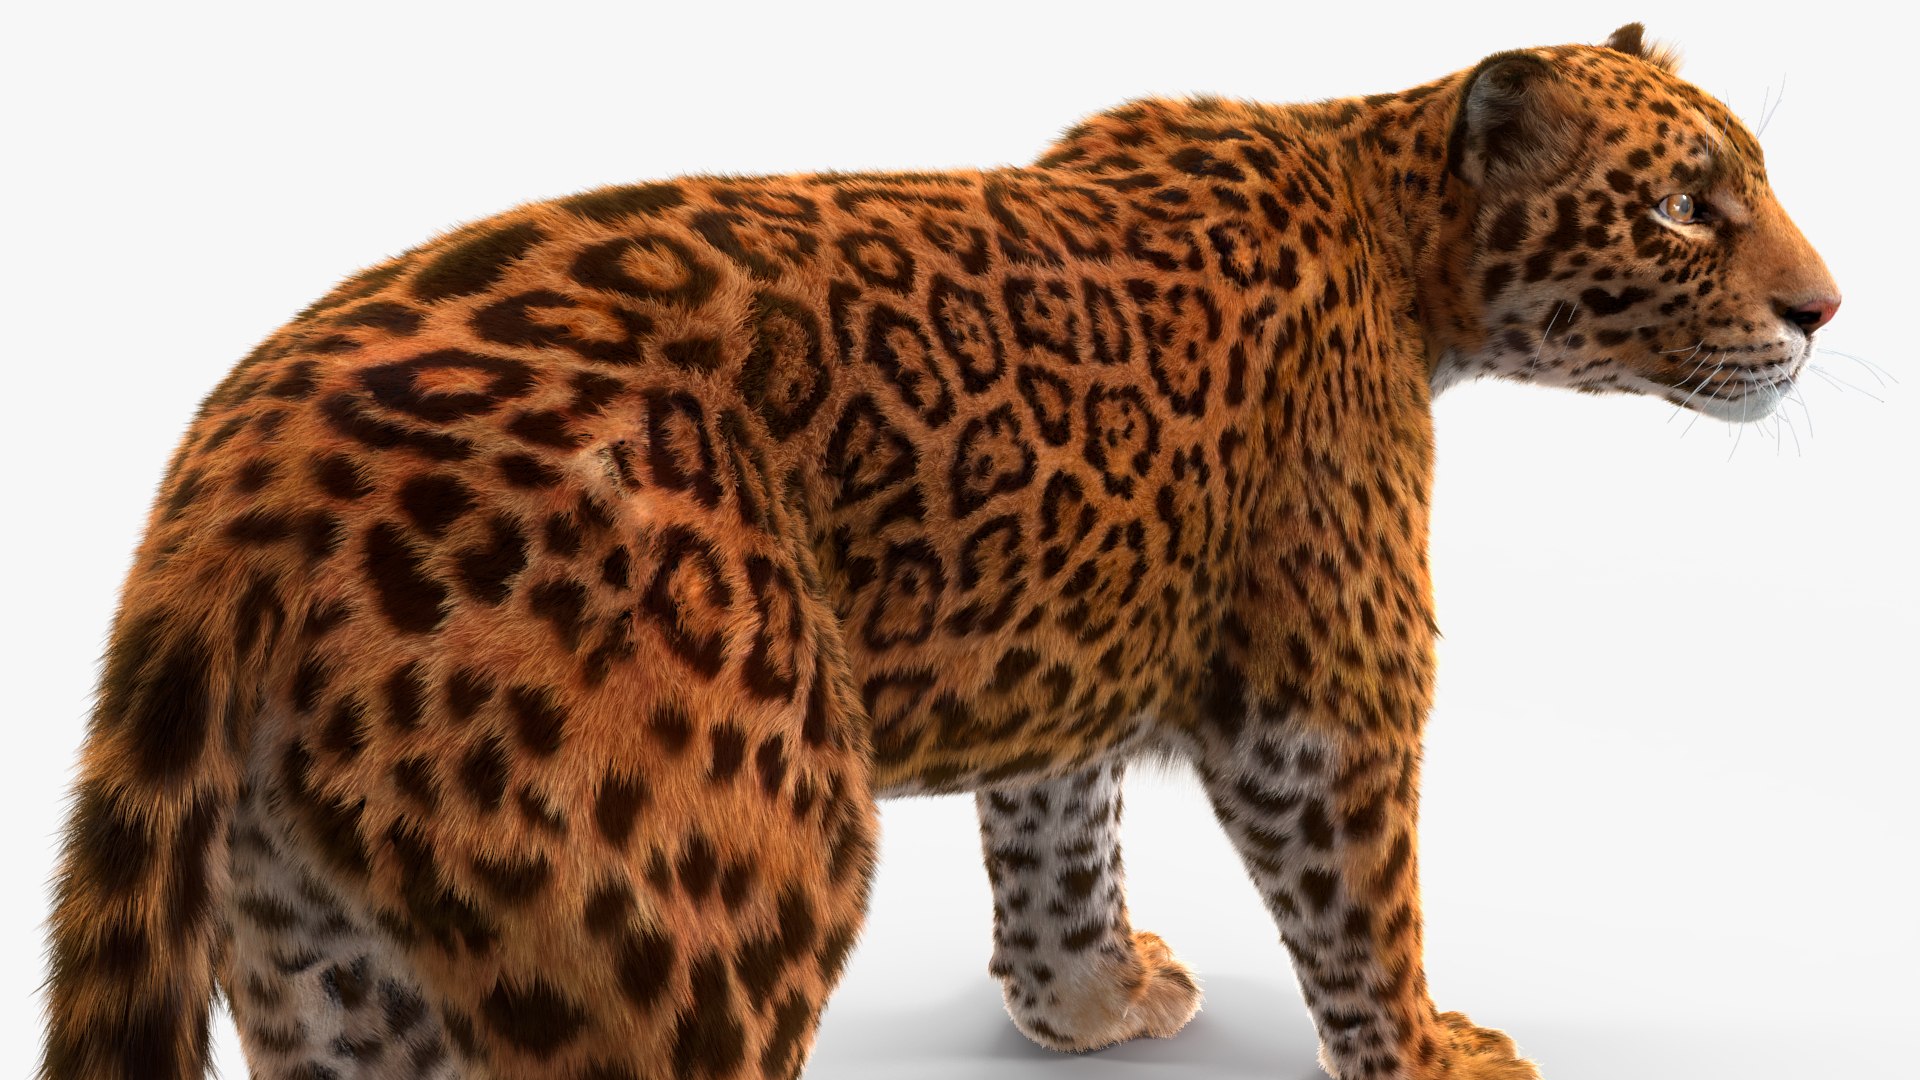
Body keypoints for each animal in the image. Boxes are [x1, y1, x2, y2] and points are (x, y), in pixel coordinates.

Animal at [40, 22, 1839, 1080]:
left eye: (1749, 180)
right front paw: (1432, 1053)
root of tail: (239, 475)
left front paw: (1087, 1004)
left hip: (319, 931)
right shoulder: (1324, 695)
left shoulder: (1077, 651)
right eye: (1682, 207)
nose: (1827, 310)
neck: (1403, 235)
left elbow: (1058, 837)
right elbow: (1364, 907)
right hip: (711, 897)